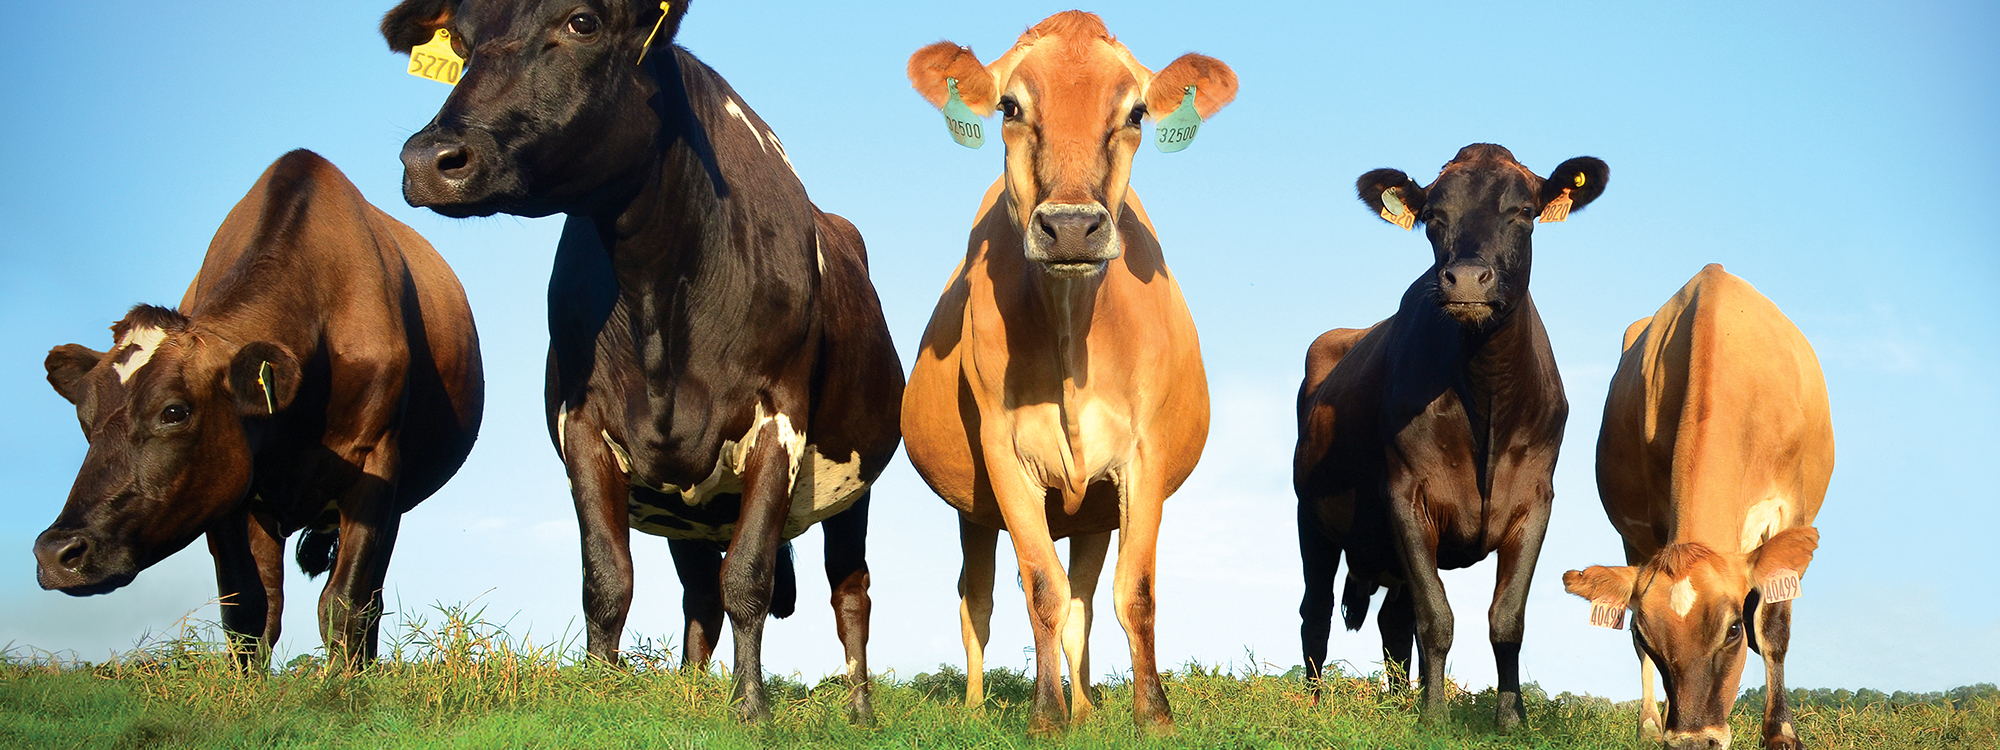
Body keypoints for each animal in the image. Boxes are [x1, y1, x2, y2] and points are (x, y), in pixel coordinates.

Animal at [35, 149, 483, 669]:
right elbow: (249, 606)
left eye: (174, 412)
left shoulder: (377, 464)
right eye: (84, 418)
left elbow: (346, 601)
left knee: (371, 597)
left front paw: (345, 683)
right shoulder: (231, 487)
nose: (54, 553)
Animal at [381, 0, 904, 723]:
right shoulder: (583, 423)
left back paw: (859, 709)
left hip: (853, 488)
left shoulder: (781, 420)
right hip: (692, 506)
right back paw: (689, 687)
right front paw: (597, 693)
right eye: (459, 39)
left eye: (583, 22)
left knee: (849, 593)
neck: (658, 290)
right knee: (700, 596)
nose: (429, 159)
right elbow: (607, 579)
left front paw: (751, 709)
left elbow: (750, 574)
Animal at [900, 11, 1235, 735]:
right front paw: (1045, 717)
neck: (1072, 340)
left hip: (1092, 513)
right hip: (974, 509)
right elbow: (1040, 590)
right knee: (977, 601)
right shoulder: (1003, 454)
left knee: (1084, 598)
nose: (1073, 227)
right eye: (1009, 107)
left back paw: (1085, 706)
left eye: (1136, 111)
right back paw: (981, 707)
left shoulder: (1144, 457)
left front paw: (1151, 715)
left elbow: (1132, 594)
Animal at [1294, 144, 1608, 727]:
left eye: (1524, 212)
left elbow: (1506, 620)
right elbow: (1436, 617)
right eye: (1434, 218)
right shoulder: (1406, 496)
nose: (1464, 279)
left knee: (1392, 622)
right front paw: (1434, 718)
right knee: (1316, 611)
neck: (1486, 399)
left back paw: (1398, 701)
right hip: (1313, 520)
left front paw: (1511, 720)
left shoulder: (1534, 501)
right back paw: (1313, 703)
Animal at [1563, 264, 1830, 750]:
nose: (1691, 740)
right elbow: (1636, 639)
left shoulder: (1788, 511)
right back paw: (1650, 724)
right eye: (1650, 636)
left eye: (1732, 630)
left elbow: (1773, 628)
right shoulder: (1651, 528)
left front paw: (1781, 732)